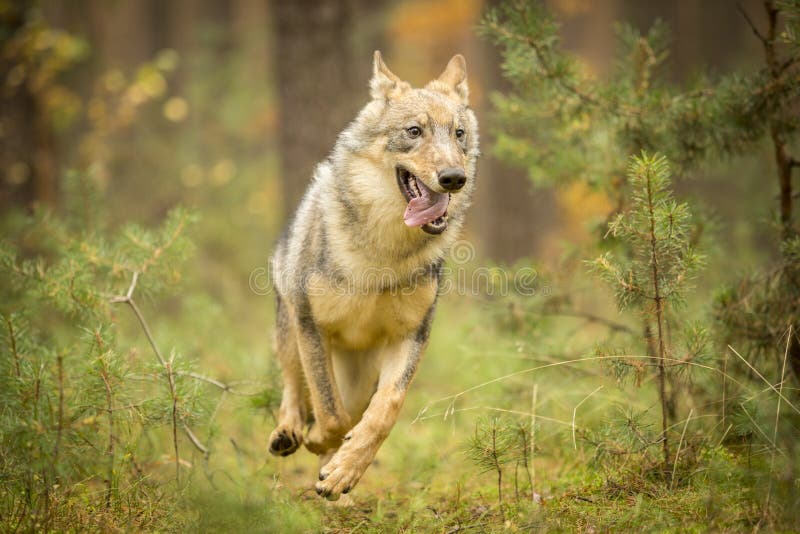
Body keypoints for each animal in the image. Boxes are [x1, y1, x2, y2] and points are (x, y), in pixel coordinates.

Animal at [267, 51, 479, 501]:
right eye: (414, 131)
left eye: (458, 134)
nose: (454, 178)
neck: (385, 254)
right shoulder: (312, 325)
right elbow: (330, 413)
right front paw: (319, 443)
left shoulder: (411, 334)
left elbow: (384, 411)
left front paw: (344, 470)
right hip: (290, 325)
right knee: (293, 384)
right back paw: (290, 433)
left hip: (362, 370)